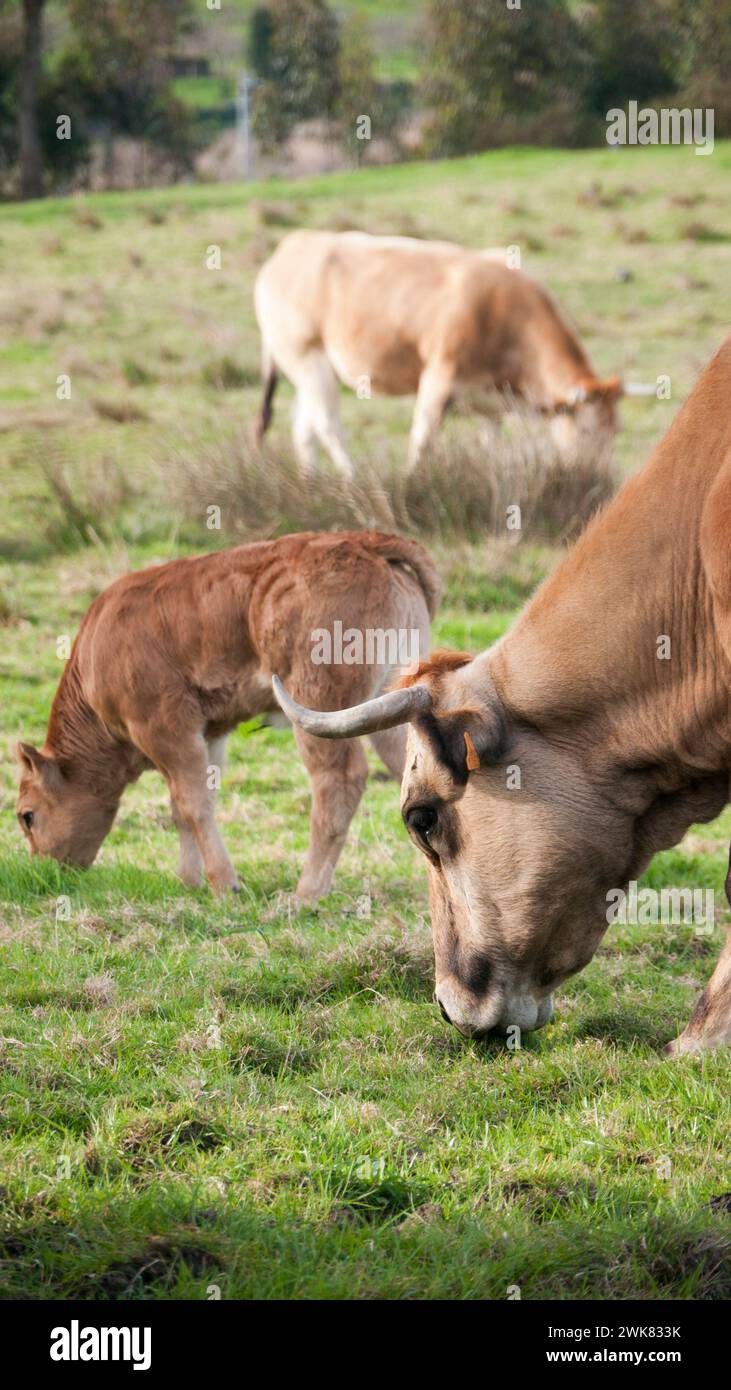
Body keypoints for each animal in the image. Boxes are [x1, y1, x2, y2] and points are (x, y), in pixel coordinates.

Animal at [15, 532, 439, 903]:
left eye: (26, 816)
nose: (44, 871)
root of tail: (366, 543)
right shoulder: (209, 732)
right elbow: (188, 805)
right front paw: (189, 881)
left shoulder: (164, 726)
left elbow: (193, 804)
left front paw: (224, 886)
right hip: (387, 700)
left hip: (317, 703)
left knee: (338, 779)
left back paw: (307, 893)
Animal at [253, 229, 623, 476]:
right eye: (587, 431)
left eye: (615, 431)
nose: (598, 476)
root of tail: (296, 241)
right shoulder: (438, 379)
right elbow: (423, 441)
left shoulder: (490, 401)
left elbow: (492, 446)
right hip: (308, 360)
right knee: (328, 428)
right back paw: (353, 481)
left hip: (312, 370)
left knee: (305, 430)